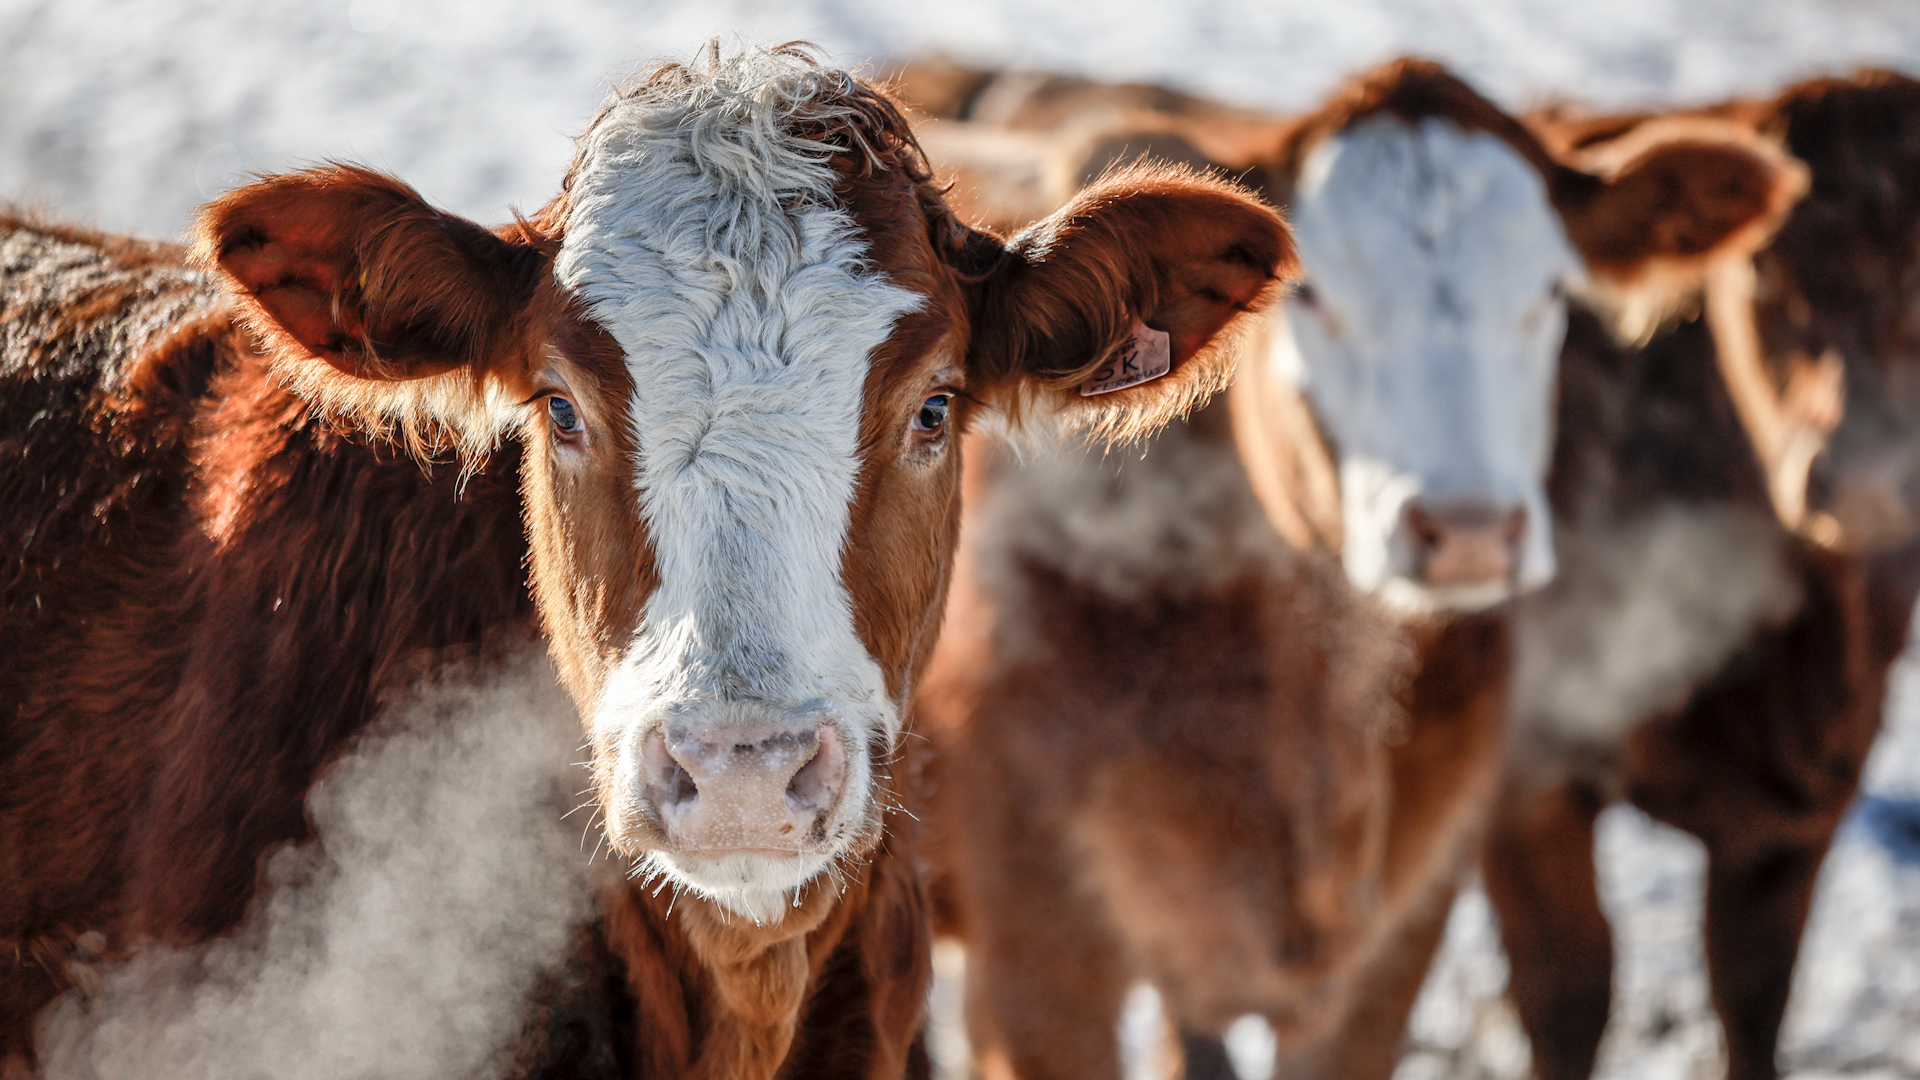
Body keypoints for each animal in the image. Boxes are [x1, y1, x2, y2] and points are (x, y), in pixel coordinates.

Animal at [1487, 71, 1920, 1080]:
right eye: (1760, 271)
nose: (1867, 474)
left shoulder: (1799, 814)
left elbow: (1753, 998)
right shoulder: (1528, 779)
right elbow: (1570, 995)